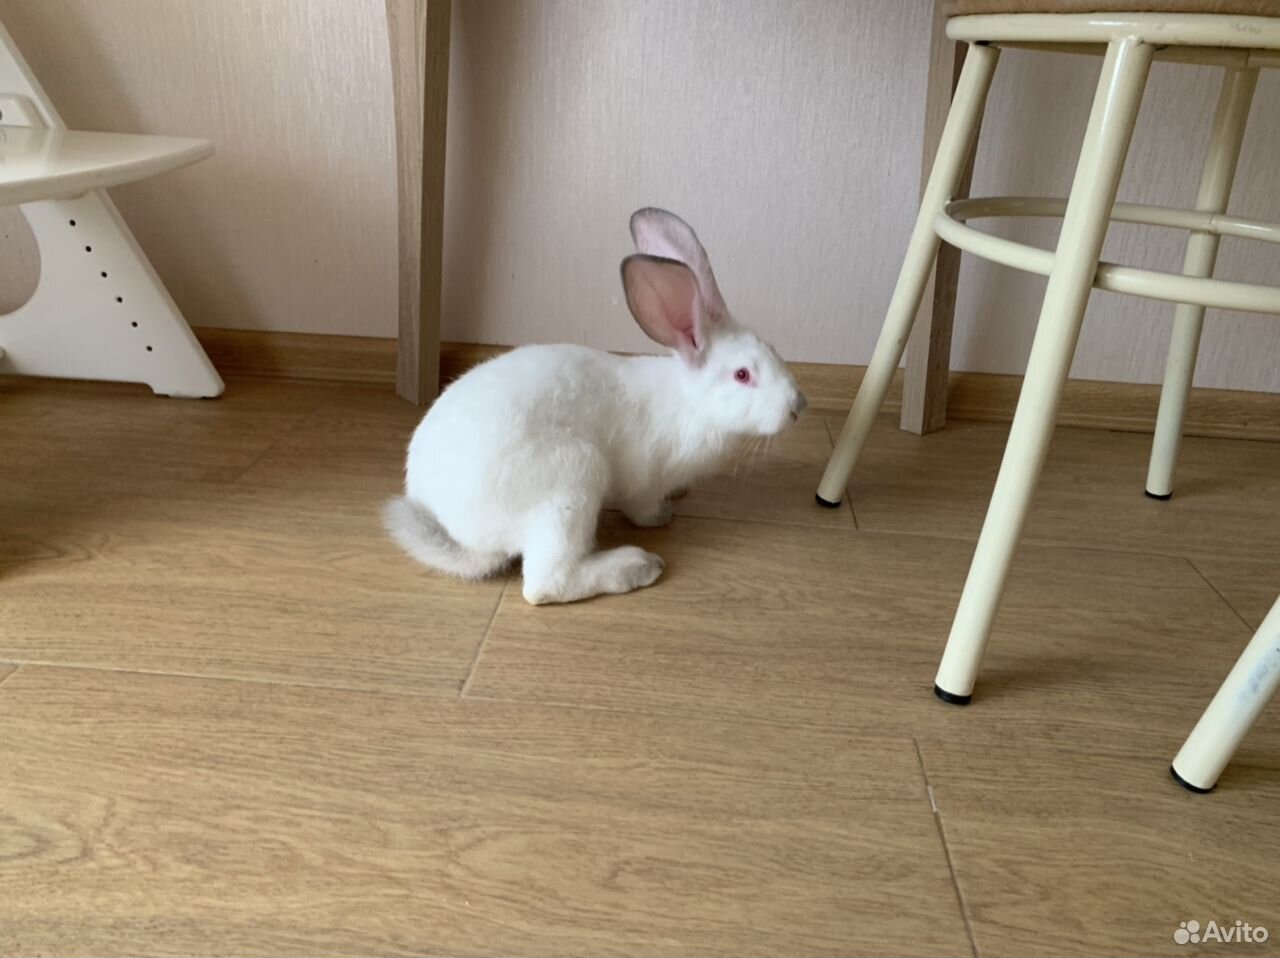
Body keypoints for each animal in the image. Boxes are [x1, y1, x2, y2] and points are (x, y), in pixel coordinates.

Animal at [383, 207, 808, 605]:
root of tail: (458, 530)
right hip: (573, 479)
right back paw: (639, 565)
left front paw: (679, 496)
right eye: (742, 375)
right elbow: (641, 508)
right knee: (545, 584)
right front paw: (662, 516)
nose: (797, 407)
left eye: (773, 349)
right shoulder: (644, 482)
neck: (691, 402)